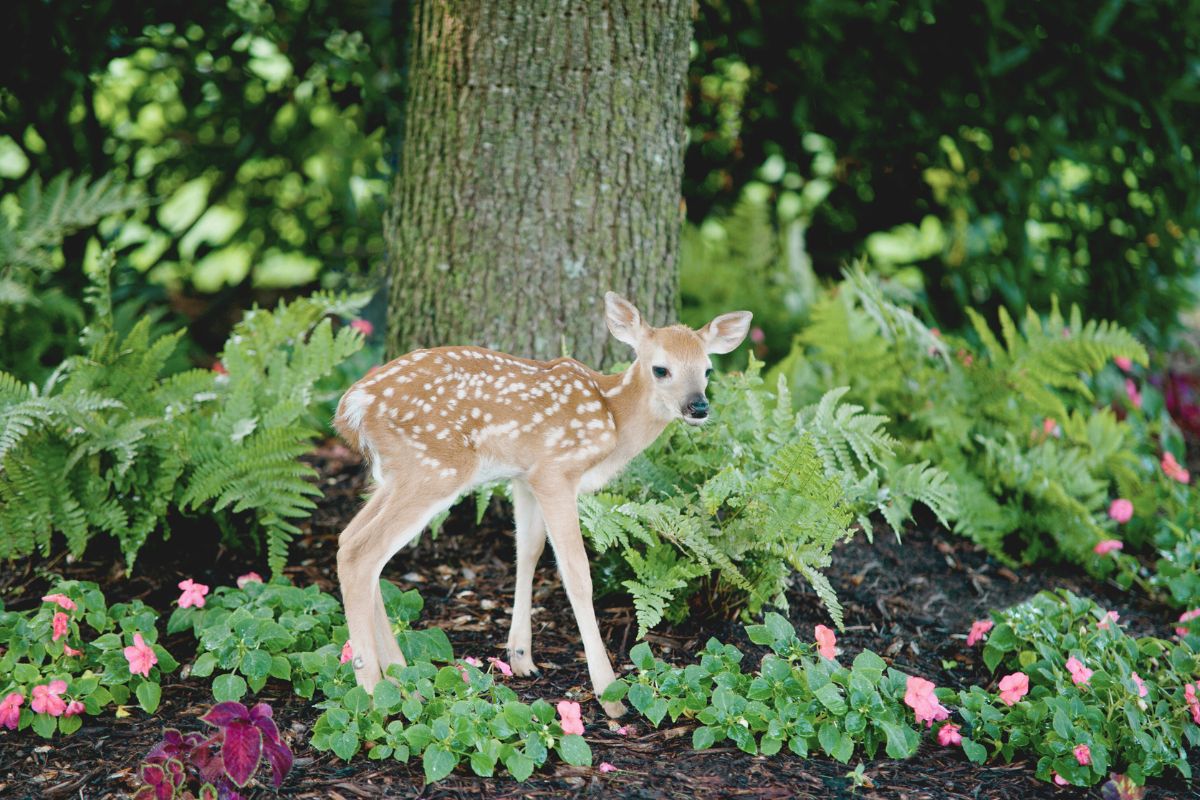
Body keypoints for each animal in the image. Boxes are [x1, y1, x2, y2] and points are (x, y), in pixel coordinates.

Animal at [332, 292, 751, 716]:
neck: (614, 419)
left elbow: (528, 550)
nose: (698, 407)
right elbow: (576, 573)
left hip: (394, 475)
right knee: (361, 552)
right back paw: (372, 692)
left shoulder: (524, 477)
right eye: (661, 369)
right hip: (435, 468)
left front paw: (521, 658)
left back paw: (403, 681)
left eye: (708, 370)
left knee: (350, 539)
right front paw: (609, 694)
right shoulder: (556, 471)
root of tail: (353, 406)